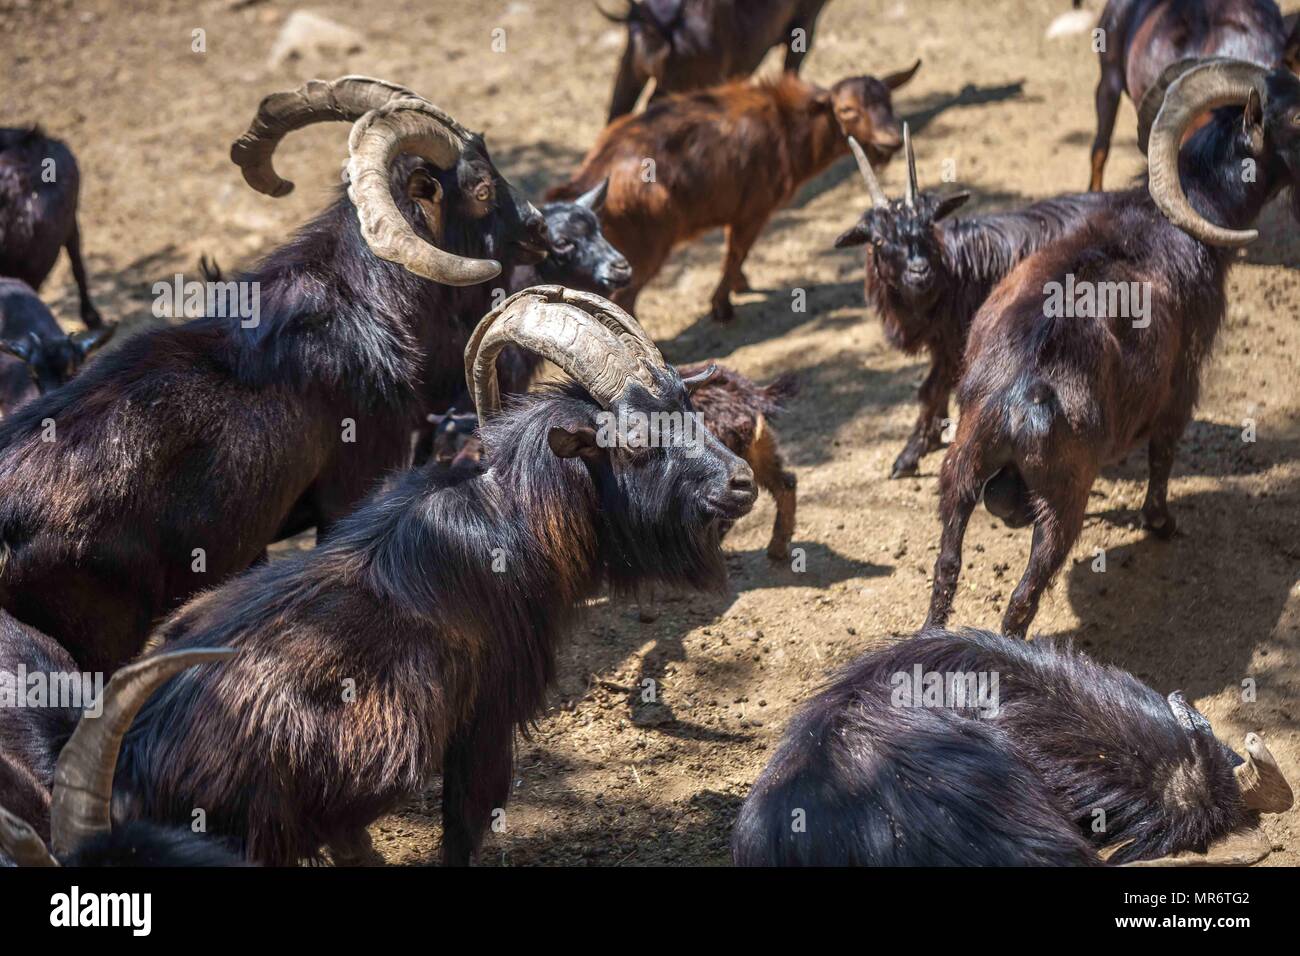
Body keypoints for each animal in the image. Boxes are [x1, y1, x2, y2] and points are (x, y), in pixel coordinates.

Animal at [107, 288, 755, 866]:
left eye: (688, 406)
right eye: (636, 442)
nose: (742, 482)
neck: (512, 519)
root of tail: (133, 766)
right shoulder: (486, 718)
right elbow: (463, 830)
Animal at [549, 64, 920, 322]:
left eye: (888, 103)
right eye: (847, 110)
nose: (890, 140)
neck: (786, 129)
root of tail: (591, 175)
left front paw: (741, 286)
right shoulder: (754, 209)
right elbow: (736, 253)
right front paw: (722, 307)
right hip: (645, 248)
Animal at [835, 130, 1109, 477]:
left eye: (928, 227)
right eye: (879, 240)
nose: (920, 270)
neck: (956, 269)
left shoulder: (956, 341)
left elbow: (931, 390)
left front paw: (909, 455)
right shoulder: (943, 342)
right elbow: (934, 389)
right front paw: (930, 438)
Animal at [925, 60, 1300, 638]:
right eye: (1297, 116)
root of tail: (1018, 393)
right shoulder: (1182, 383)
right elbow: (1164, 454)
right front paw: (1162, 524)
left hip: (962, 467)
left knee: (947, 564)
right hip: (1062, 499)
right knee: (1023, 598)